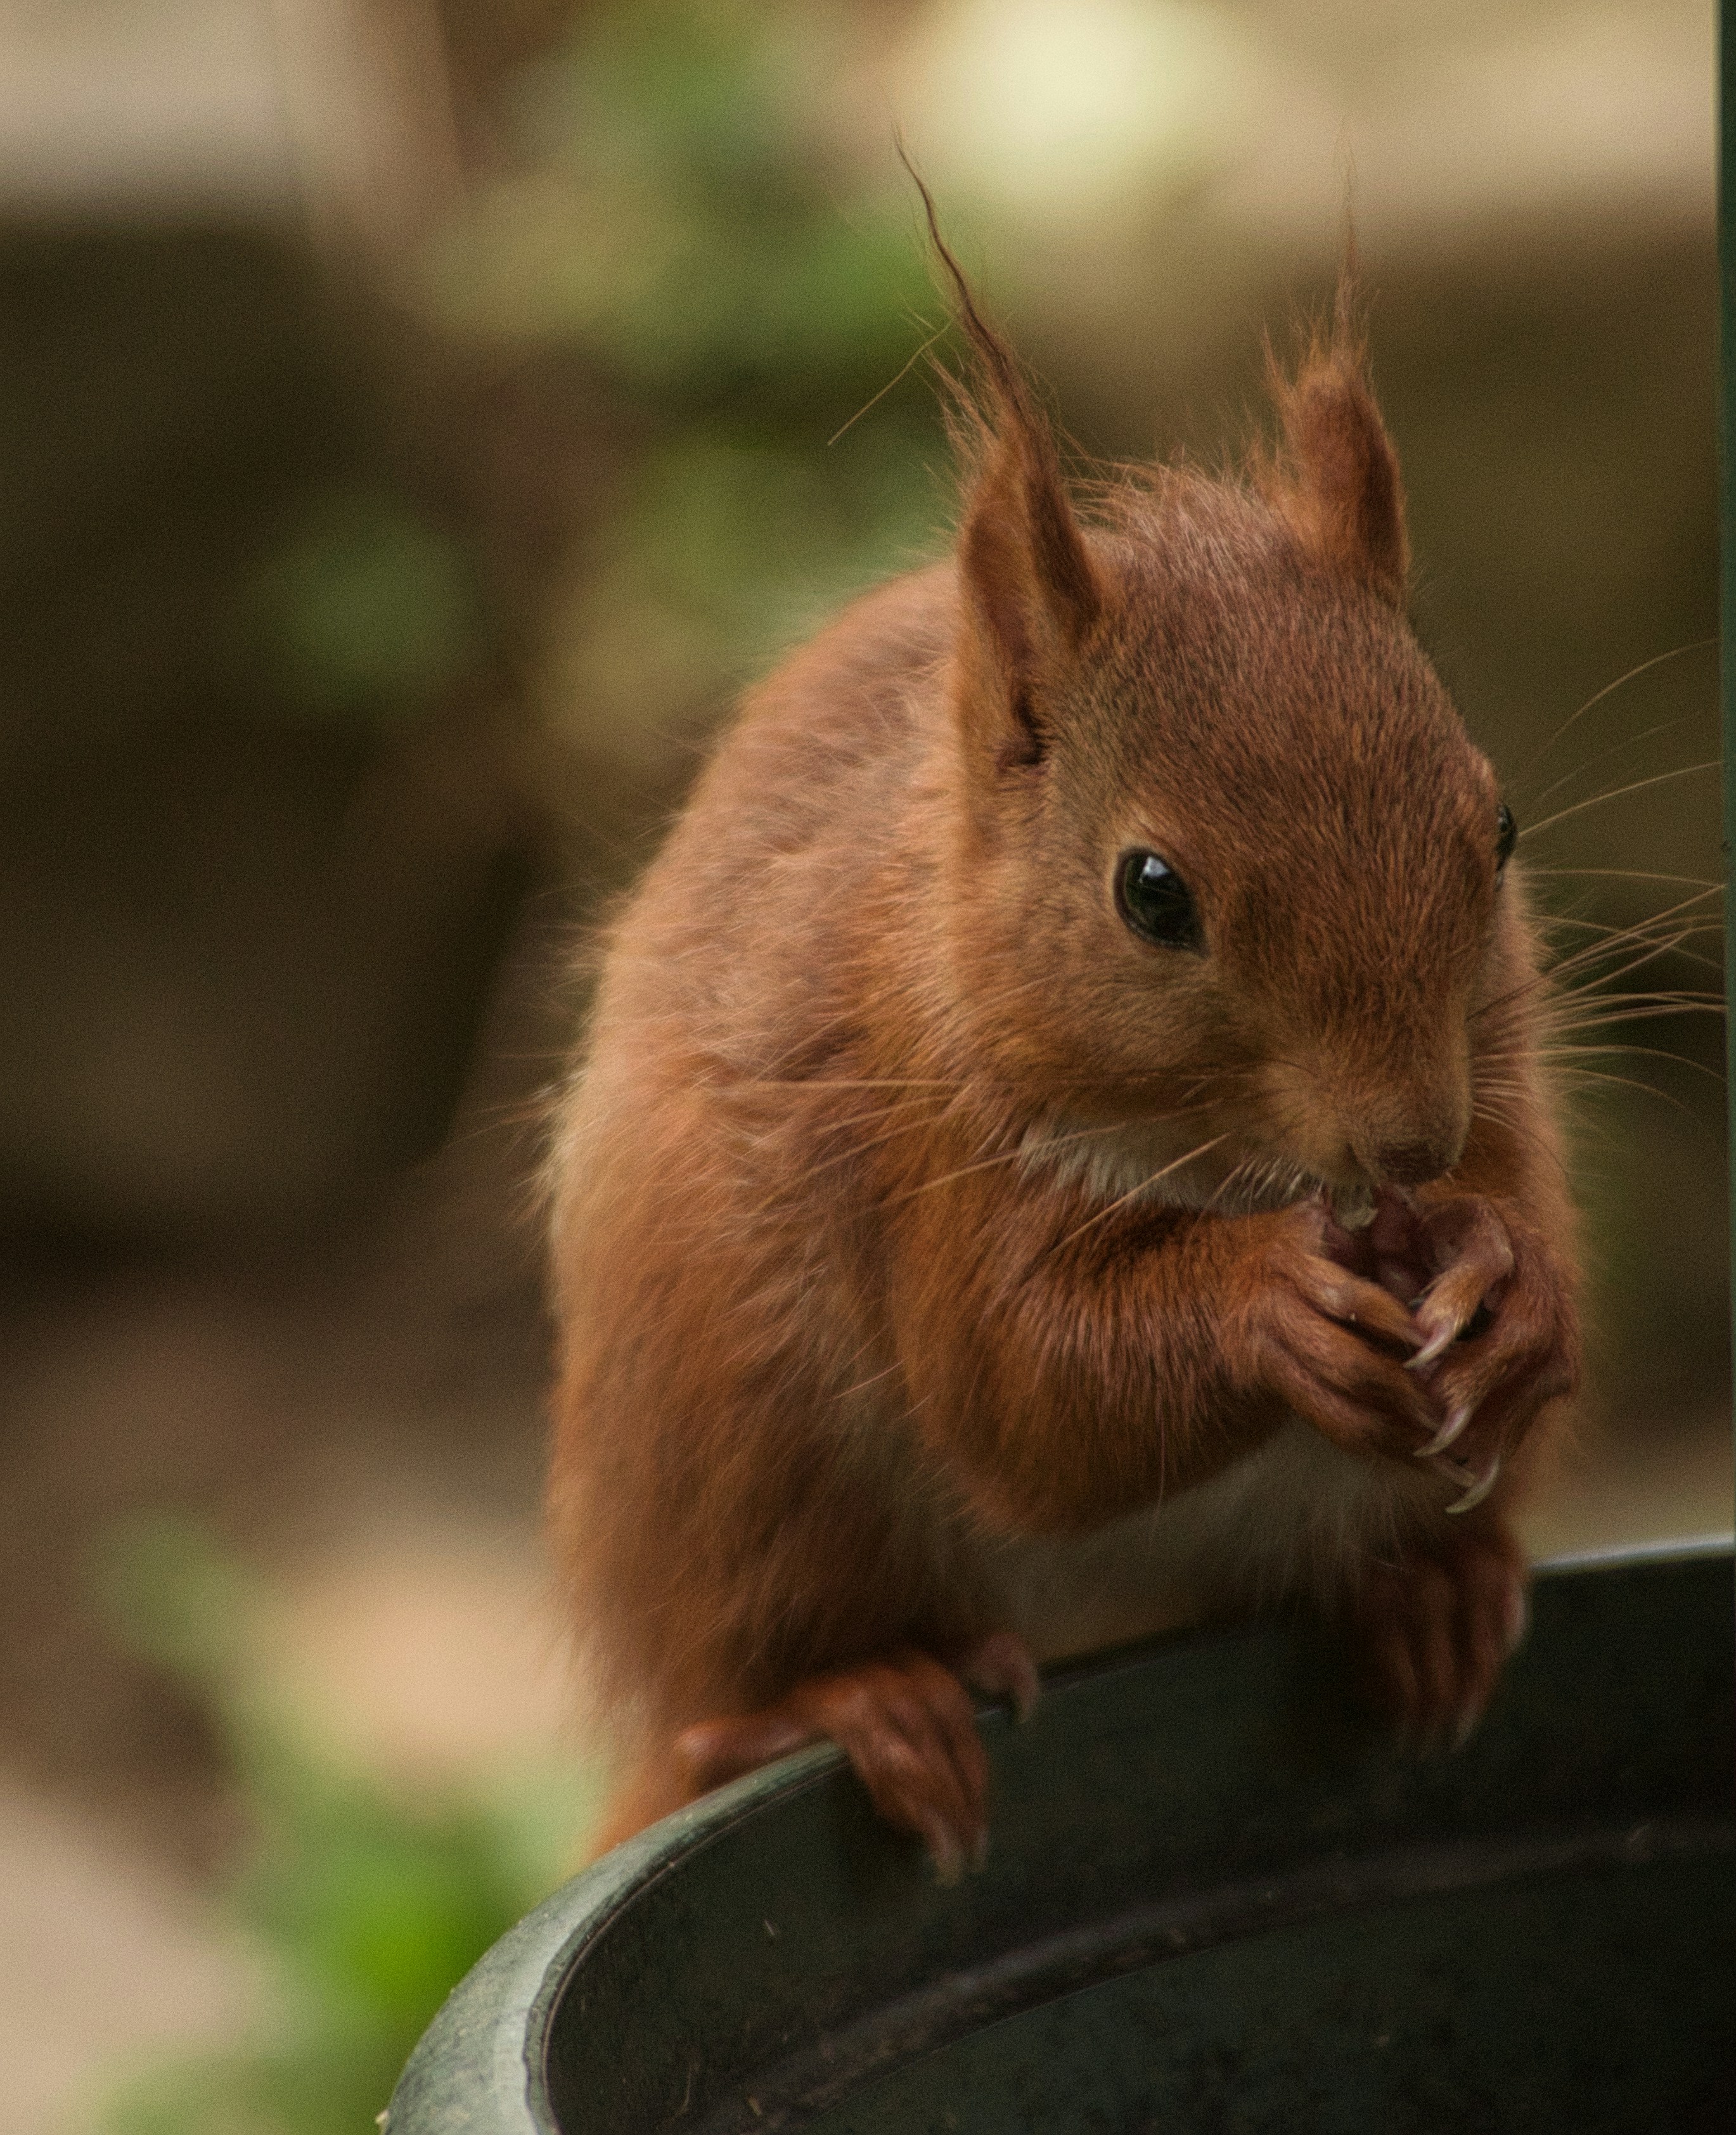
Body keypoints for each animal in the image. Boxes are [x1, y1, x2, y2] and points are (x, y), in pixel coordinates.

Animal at [546, 219, 1580, 1879]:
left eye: (1496, 826)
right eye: (1148, 893)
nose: (1403, 1144)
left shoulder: (1502, 1088)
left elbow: (1519, 1217)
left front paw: (1511, 1289)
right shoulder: (928, 1131)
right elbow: (1021, 1392)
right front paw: (1266, 1302)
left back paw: (1425, 1588)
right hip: (736, 1433)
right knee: (728, 1697)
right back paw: (868, 1699)